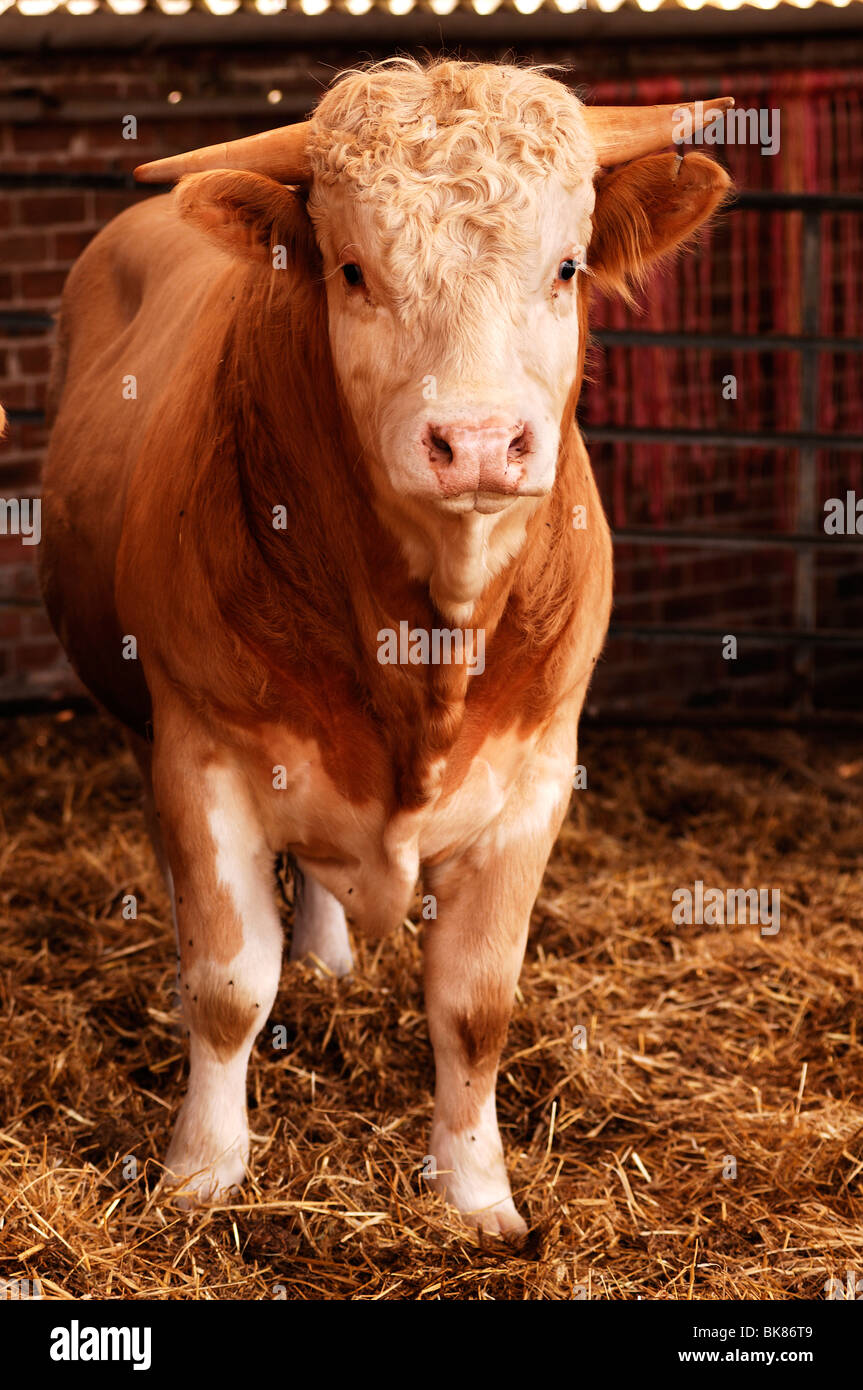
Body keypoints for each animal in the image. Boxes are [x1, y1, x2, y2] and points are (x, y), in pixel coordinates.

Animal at [39, 59, 732, 1237]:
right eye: (353, 270)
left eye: (566, 265)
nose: (479, 442)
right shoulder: (204, 752)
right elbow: (228, 988)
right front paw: (202, 1173)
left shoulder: (535, 775)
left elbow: (475, 1006)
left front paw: (476, 1193)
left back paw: (325, 960)